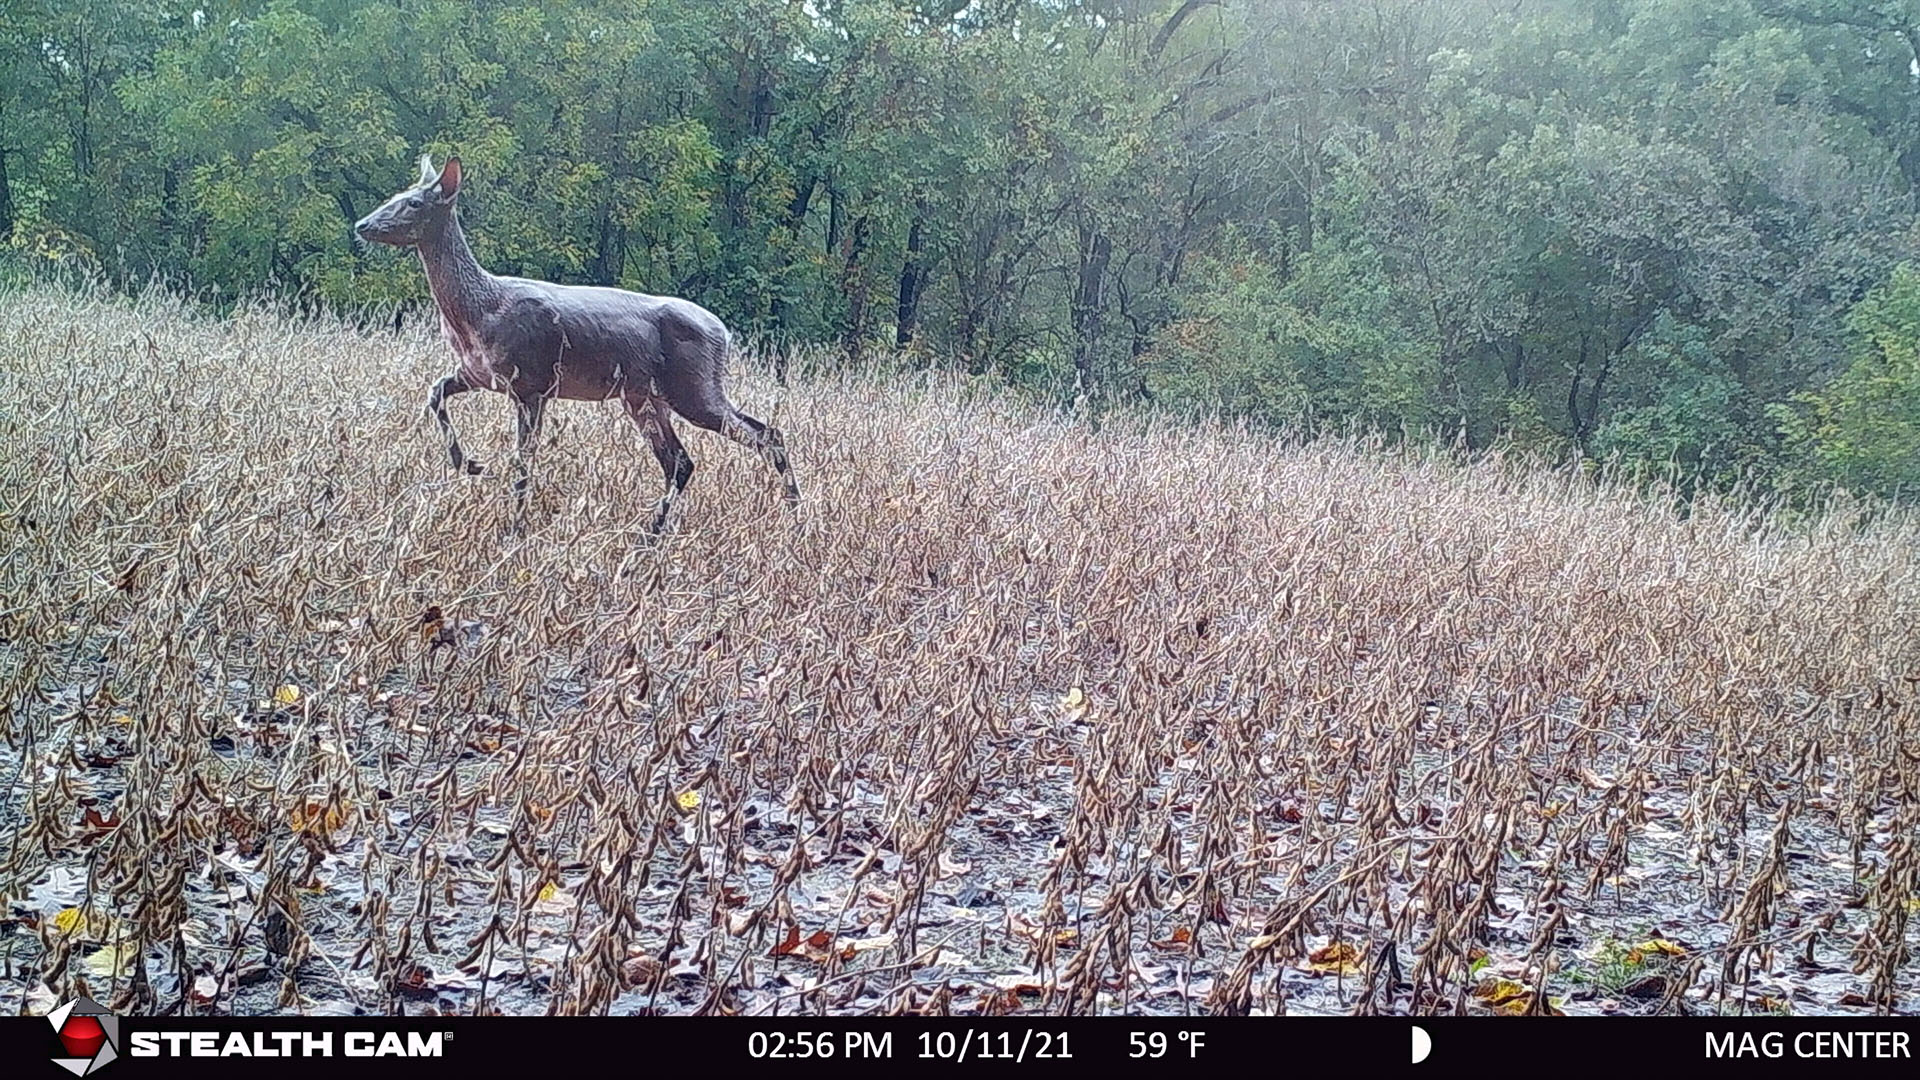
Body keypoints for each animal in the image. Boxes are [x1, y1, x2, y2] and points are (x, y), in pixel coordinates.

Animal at [353, 154, 799, 532]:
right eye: (394, 195)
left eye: (413, 203)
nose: (361, 225)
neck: (478, 312)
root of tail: (723, 332)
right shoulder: (479, 374)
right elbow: (434, 394)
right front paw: (470, 464)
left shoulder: (531, 382)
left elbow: (522, 462)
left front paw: (514, 528)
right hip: (645, 395)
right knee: (681, 461)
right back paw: (653, 532)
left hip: (692, 386)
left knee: (764, 434)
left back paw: (793, 513)